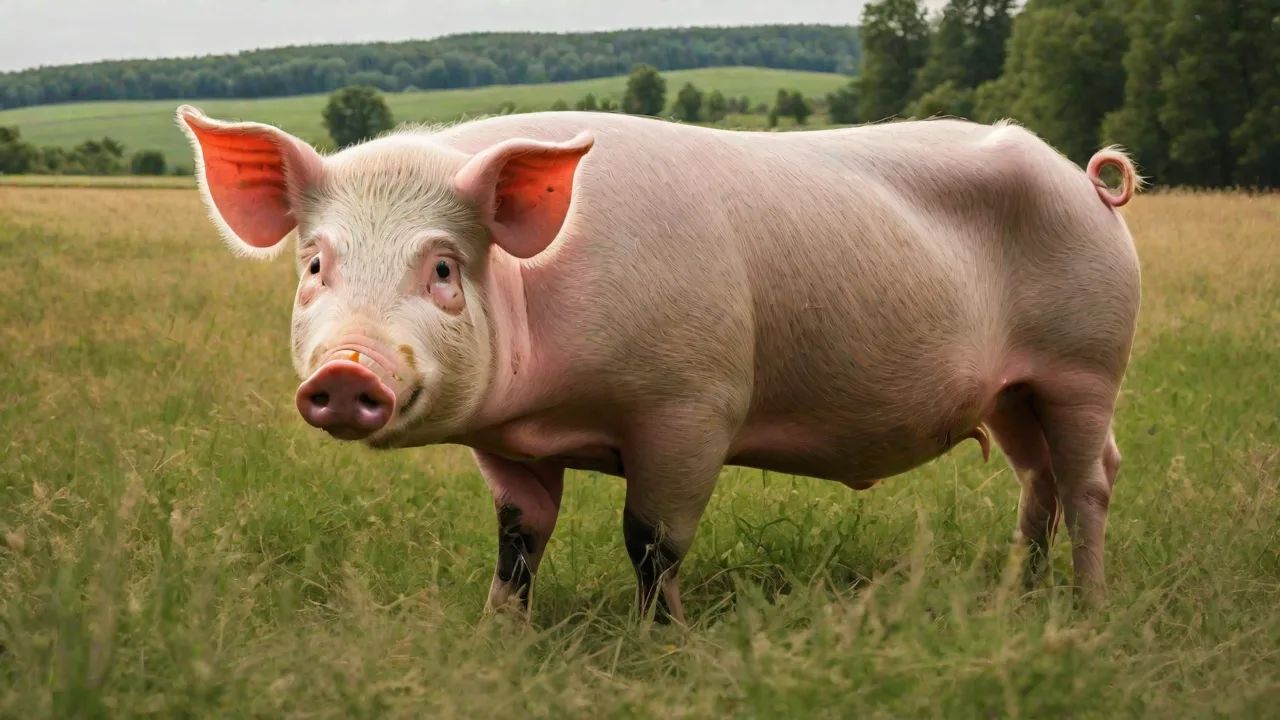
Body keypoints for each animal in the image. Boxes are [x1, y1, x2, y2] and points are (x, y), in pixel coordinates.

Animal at [176, 104, 1142, 624]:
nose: (347, 371)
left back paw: (1088, 605)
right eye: (315, 265)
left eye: (444, 269)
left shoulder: (693, 404)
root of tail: (1088, 183)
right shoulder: (507, 443)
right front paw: (497, 635)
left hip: (1087, 362)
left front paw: (663, 644)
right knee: (1039, 477)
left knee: (1091, 477)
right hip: (1013, 391)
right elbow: (519, 537)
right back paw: (1017, 591)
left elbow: (651, 539)